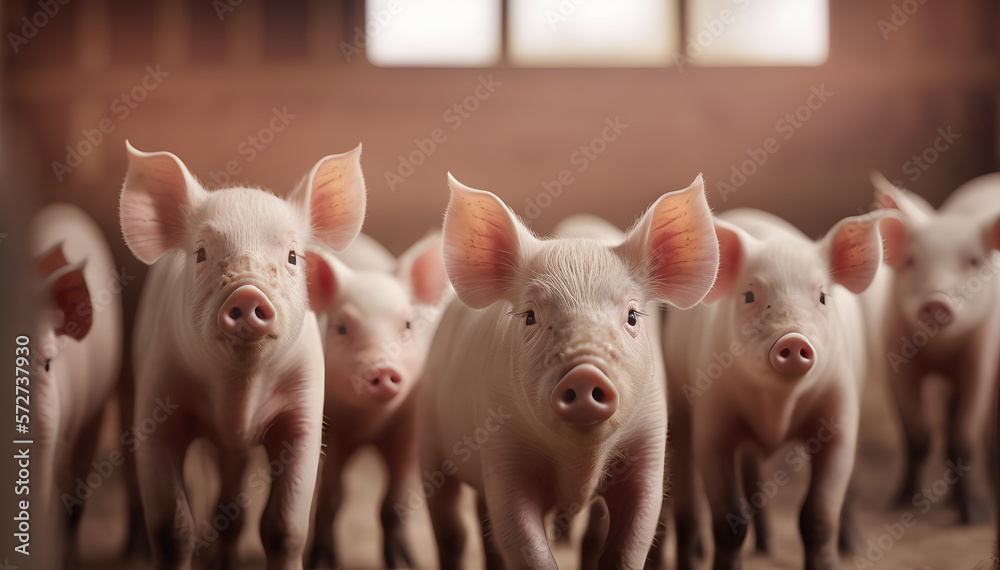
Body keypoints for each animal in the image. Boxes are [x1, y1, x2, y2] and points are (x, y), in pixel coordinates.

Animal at [118, 141, 365, 570]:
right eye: (201, 254)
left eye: (293, 257)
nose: (248, 293)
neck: (237, 396)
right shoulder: (158, 398)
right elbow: (172, 528)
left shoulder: (303, 412)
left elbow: (284, 528)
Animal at [308, 232, 450, 569]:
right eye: (342, 328)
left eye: (408, 325)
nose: (382, 367)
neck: (370, 425)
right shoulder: (334, 432)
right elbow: (333, 497)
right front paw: (325, 562)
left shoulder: (407, 434)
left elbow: (394, 502)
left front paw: (405, 563)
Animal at [419, 173, 720, 569]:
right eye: (530, 316)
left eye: (632, 316)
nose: (585, 374)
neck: (579, 463)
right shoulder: (500, 444)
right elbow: (523, 540)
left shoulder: (650, 442)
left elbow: (629, 542)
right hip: (427, 440)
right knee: (452, 529)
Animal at [664, 208, 892, 570]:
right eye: (749, 295)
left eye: (822, 297)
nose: (794, 340)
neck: (776, 406)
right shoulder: (713, 421)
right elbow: (730, 518)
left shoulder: (839, 411)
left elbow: (818, 515)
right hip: (680, 406)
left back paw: (847, 546)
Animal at [865, 172, 1000, 524]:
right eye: (912, 260)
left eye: (974, 261)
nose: (935, 302)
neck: (942, 350)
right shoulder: (896, 361)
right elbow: (918, 437)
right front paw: (901, 504)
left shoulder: (981, 358)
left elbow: (963, 440)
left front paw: (975, 518)